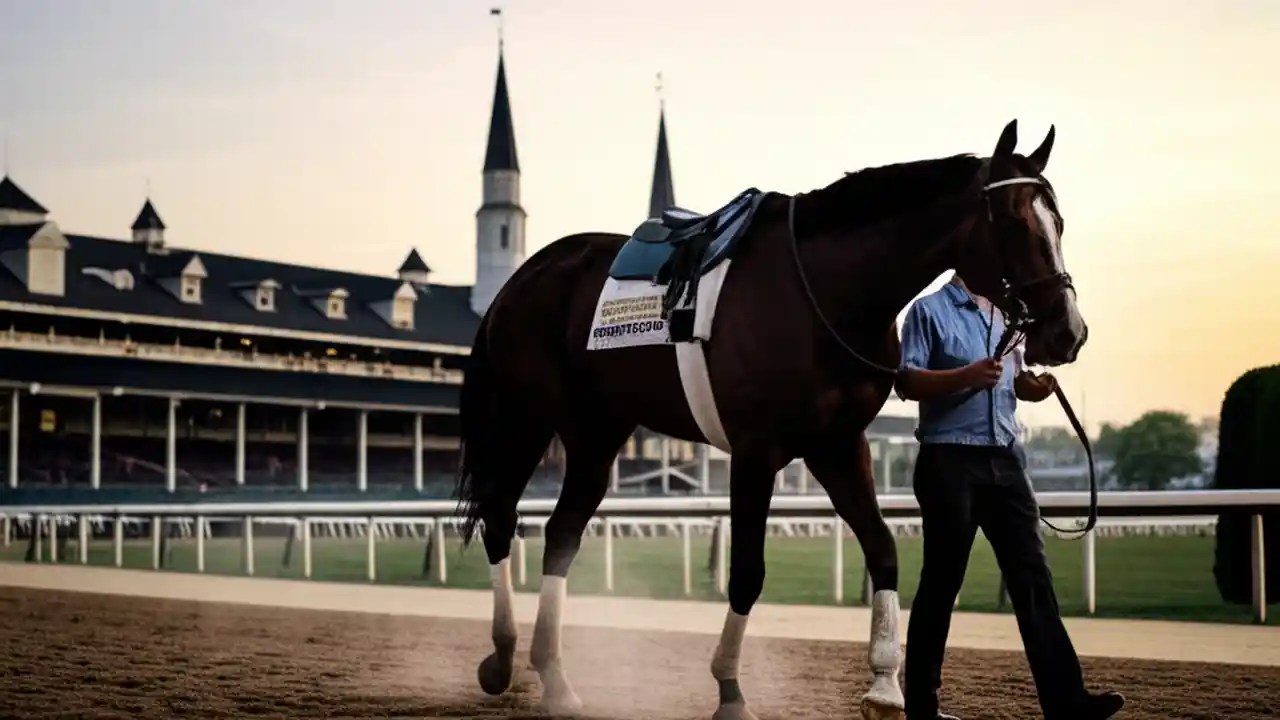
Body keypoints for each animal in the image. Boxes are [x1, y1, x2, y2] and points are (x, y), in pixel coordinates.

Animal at [452, 119, 1085, 720]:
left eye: (1058, 222)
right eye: (1013, 221)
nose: (1068, 331)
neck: (825, 294)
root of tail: (522, 280)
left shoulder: (838, 444)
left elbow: (882, 548)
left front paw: (884, 688)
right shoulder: (756, 452)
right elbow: (748, 572)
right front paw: (730, 691)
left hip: (597, 433)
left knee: (560, 534)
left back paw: (551, 676)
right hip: (526, 420)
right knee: (502, 519)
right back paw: (505, 657)